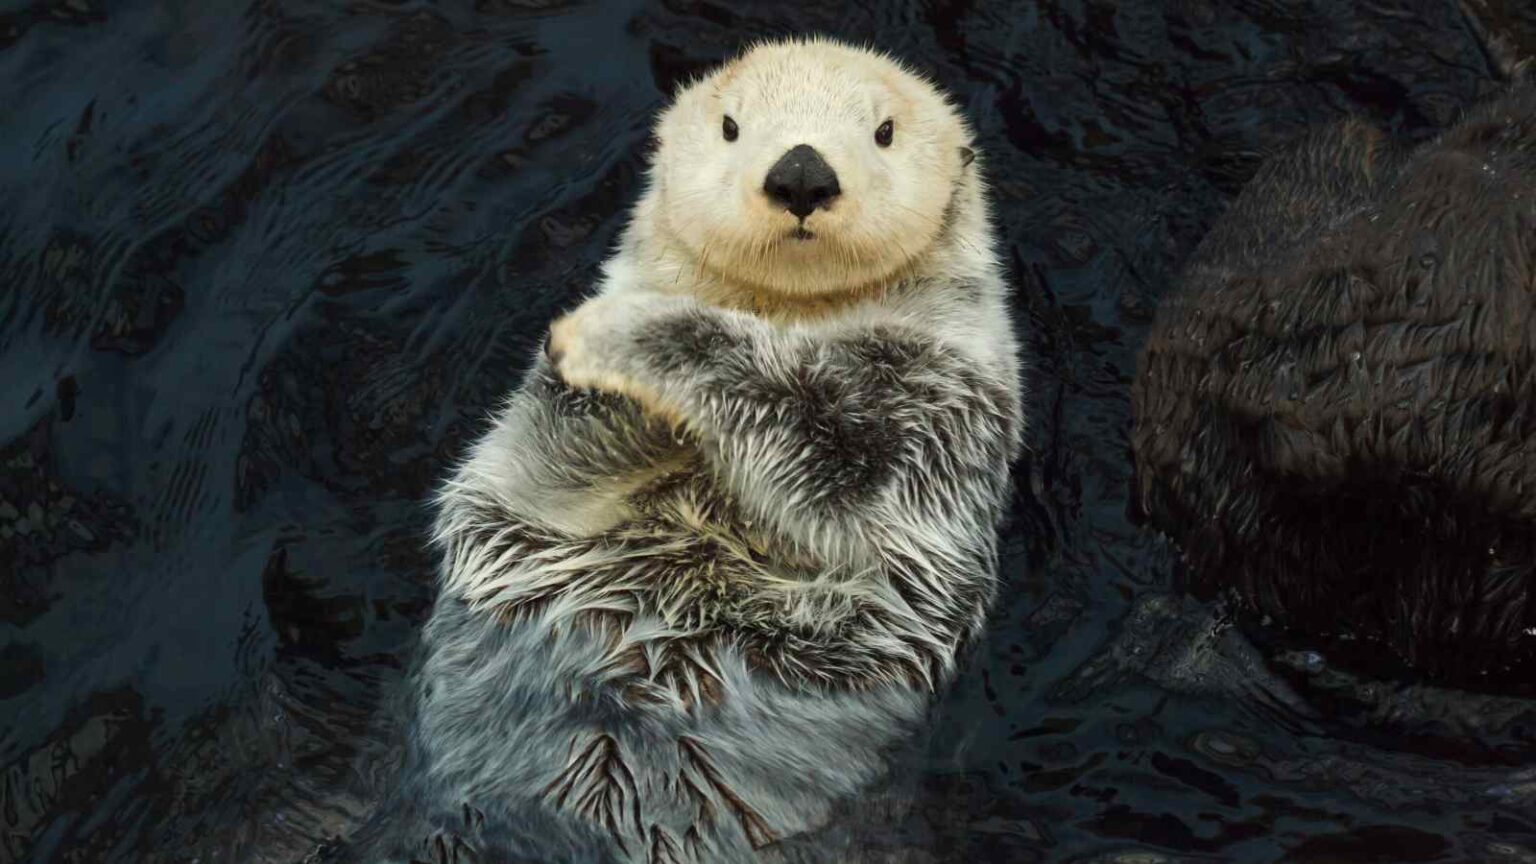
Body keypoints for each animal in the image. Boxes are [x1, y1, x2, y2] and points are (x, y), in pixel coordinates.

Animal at [334, 37, 1022, 864]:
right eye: (731, 126)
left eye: (884, 132)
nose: (801, 173)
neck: (789, 314)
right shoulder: (533, 472)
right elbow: (543, 465)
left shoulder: (936, 411)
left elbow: (832, 456)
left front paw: (617, 333)